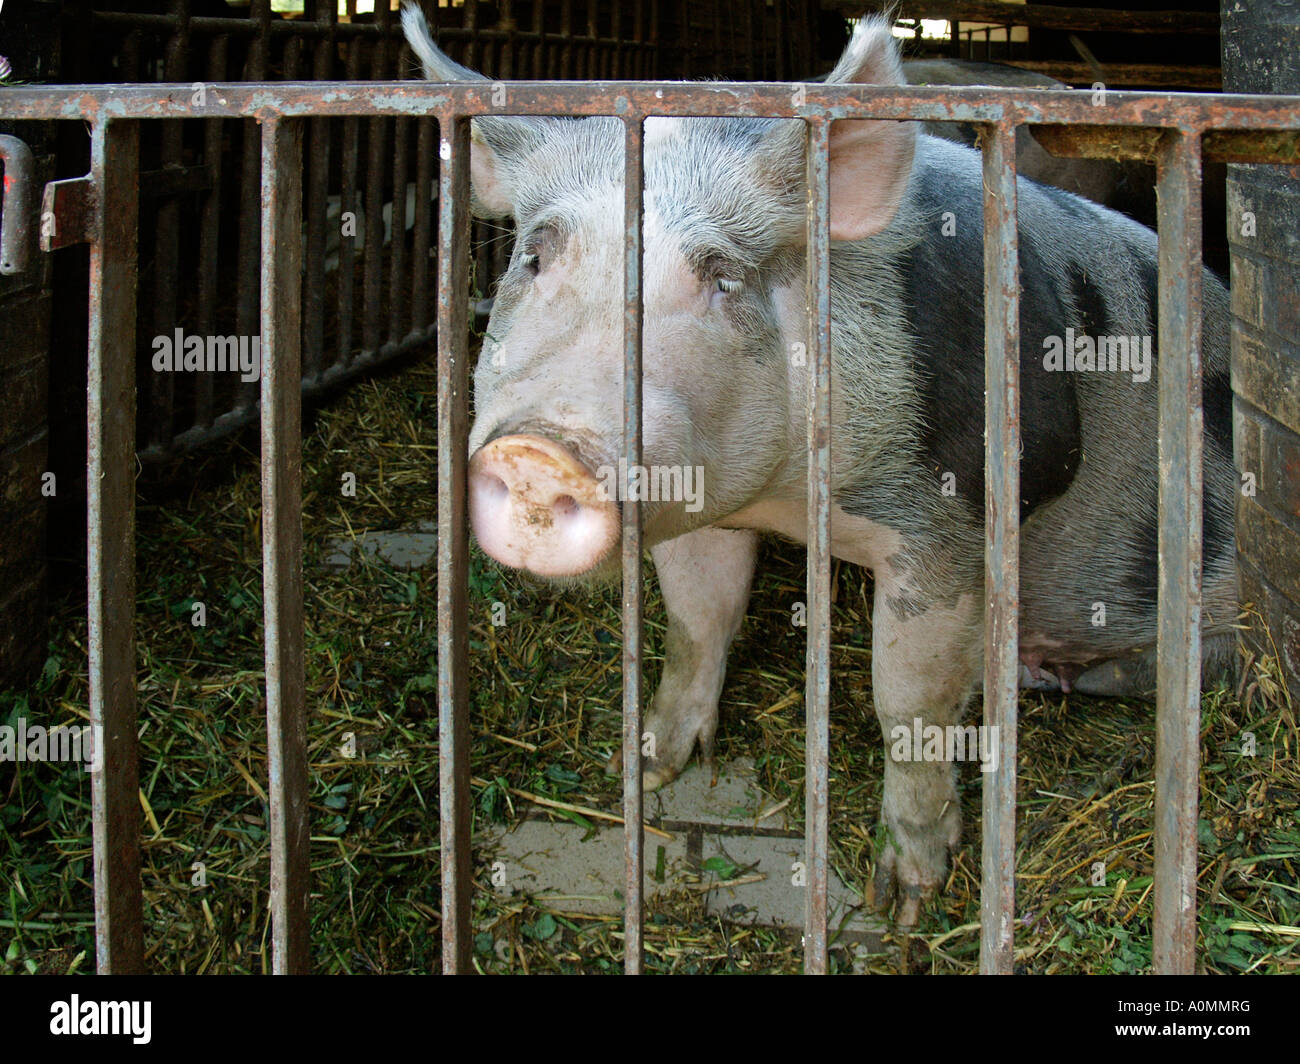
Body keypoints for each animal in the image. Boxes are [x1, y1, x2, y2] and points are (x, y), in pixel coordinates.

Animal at [402, 4, 1239, 925]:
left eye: (723, 277)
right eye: (535, 257)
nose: (539, 450)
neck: (789, 501)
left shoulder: (952, 523)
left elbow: (906, 699)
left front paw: (906, 899)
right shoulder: (700, 499)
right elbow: (699, 620)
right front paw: (646, 767)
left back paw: (1040, 678)